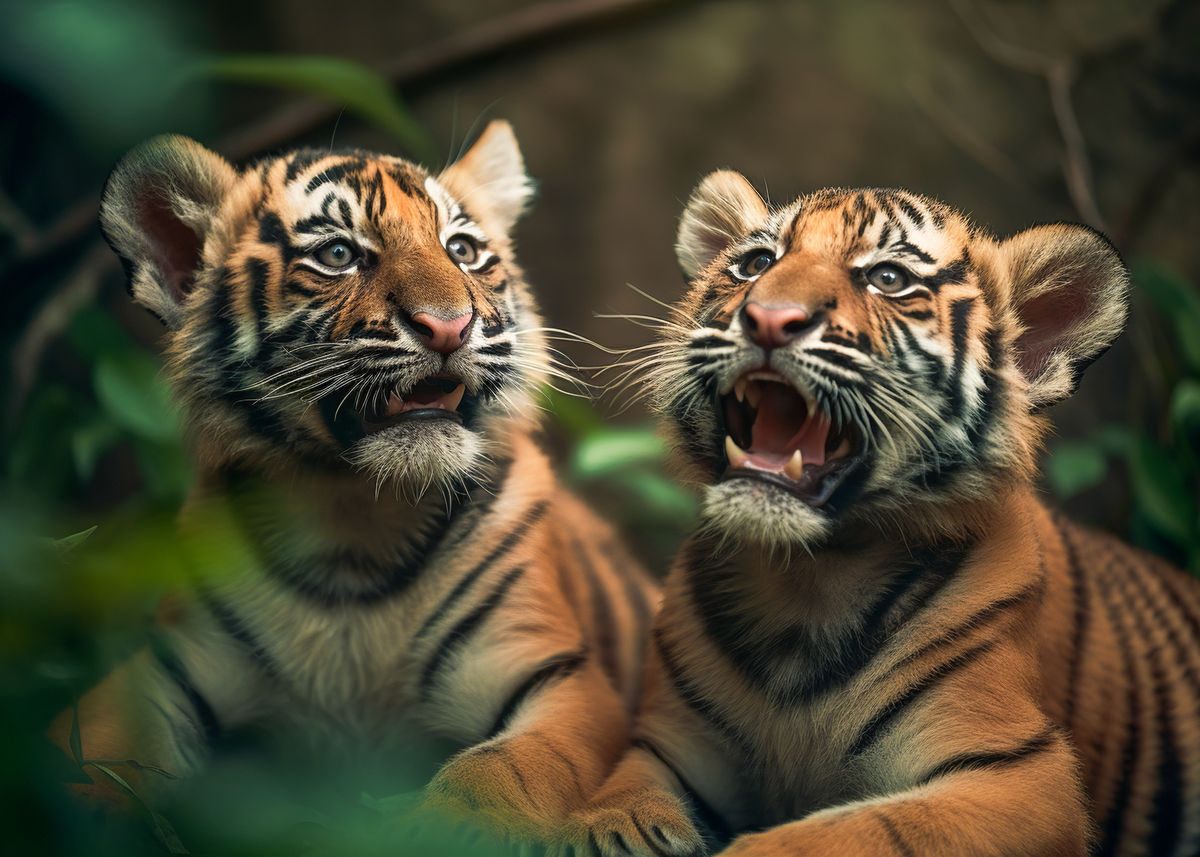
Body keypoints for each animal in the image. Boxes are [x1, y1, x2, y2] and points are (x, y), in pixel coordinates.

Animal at [49, 120, 658, 842]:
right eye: (339, 254)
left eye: (463, 250)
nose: (449, 325)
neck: (357, 518)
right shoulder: (158, 673)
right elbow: (82, 754)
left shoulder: (560, 680)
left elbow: (497, 772)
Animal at [554, 173, 1200, 857]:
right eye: (755, 264)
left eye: (887, 279)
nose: (767, 319)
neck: (805, 585)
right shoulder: (665, 751)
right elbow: (615, 806)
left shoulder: (1020, 774)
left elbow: (851, 831)